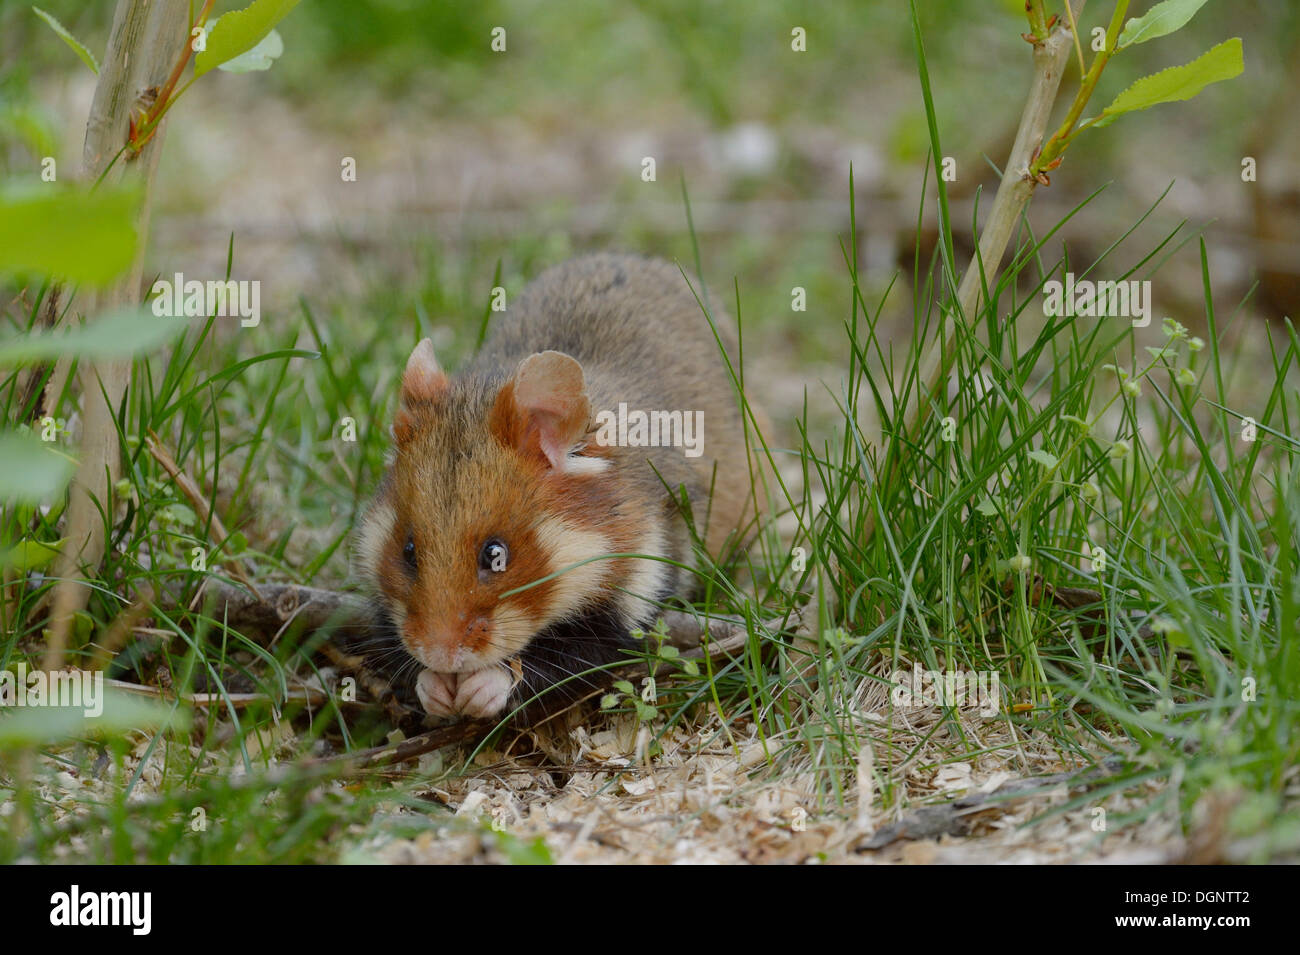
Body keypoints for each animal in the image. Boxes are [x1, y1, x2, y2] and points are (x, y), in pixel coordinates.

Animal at [356, 253, 766, 720]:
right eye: (408, 551)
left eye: (495, 554)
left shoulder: (635, 591)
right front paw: (436, 689)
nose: (440, 656)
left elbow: (564, 657)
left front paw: (476, 691)